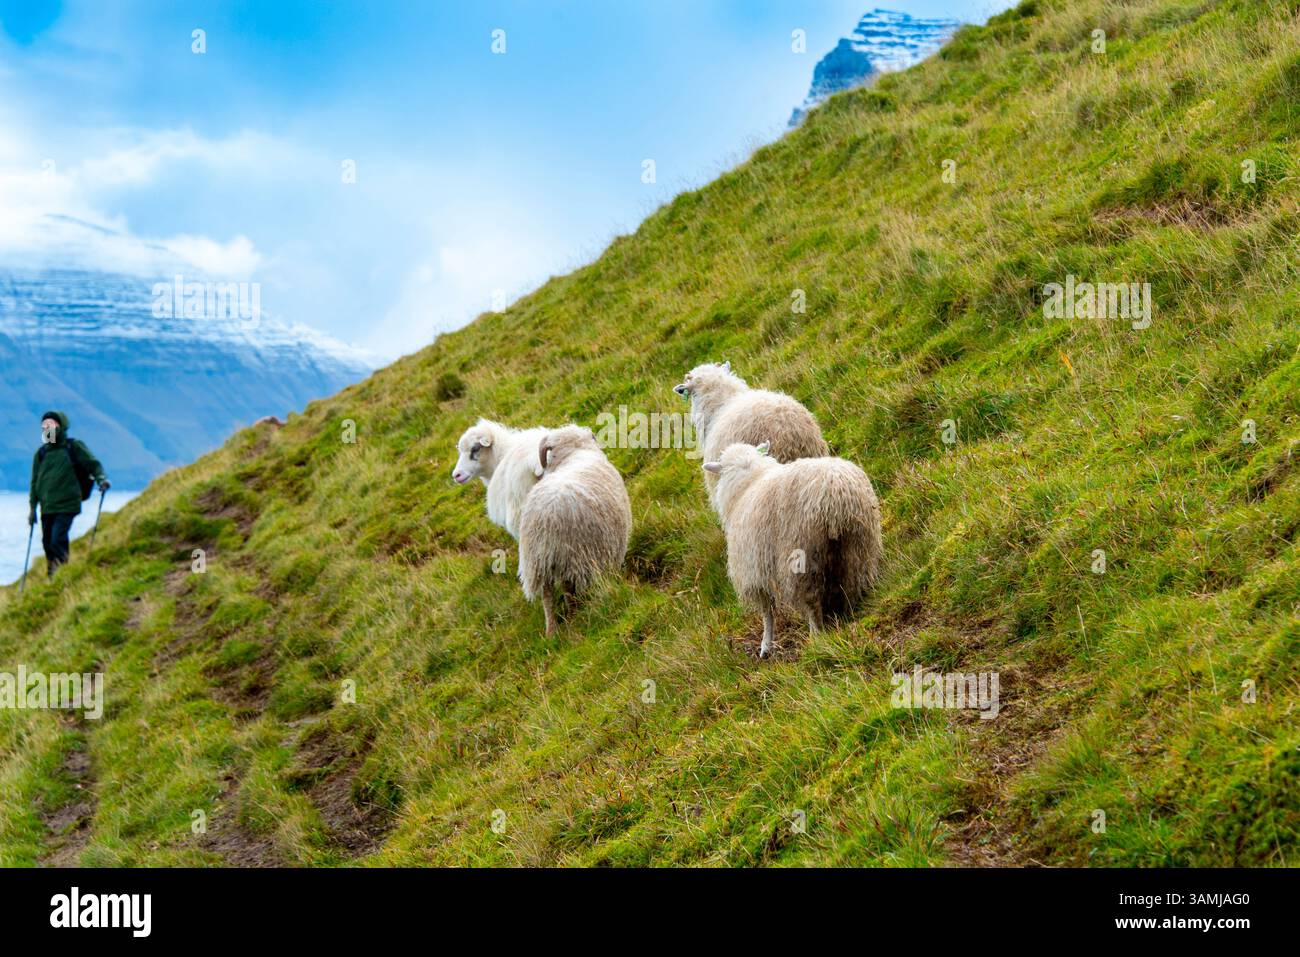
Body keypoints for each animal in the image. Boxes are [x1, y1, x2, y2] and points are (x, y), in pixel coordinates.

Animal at [518, 425, 632, 636]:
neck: (575, 453)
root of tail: (546, 520)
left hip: (538, 563)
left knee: (547, 596)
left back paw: (552, 631)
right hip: (576, 554)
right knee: (567, 587)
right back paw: (573, 613)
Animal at [703, 441, 881, 659]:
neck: (748, 481)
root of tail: (835, 490)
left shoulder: (753, 570)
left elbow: (767, 611)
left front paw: (766, 645)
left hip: (802, 553)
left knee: (811, 600)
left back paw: (816, 636)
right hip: (858, 544)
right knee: (852, 582)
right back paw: (848, 614)